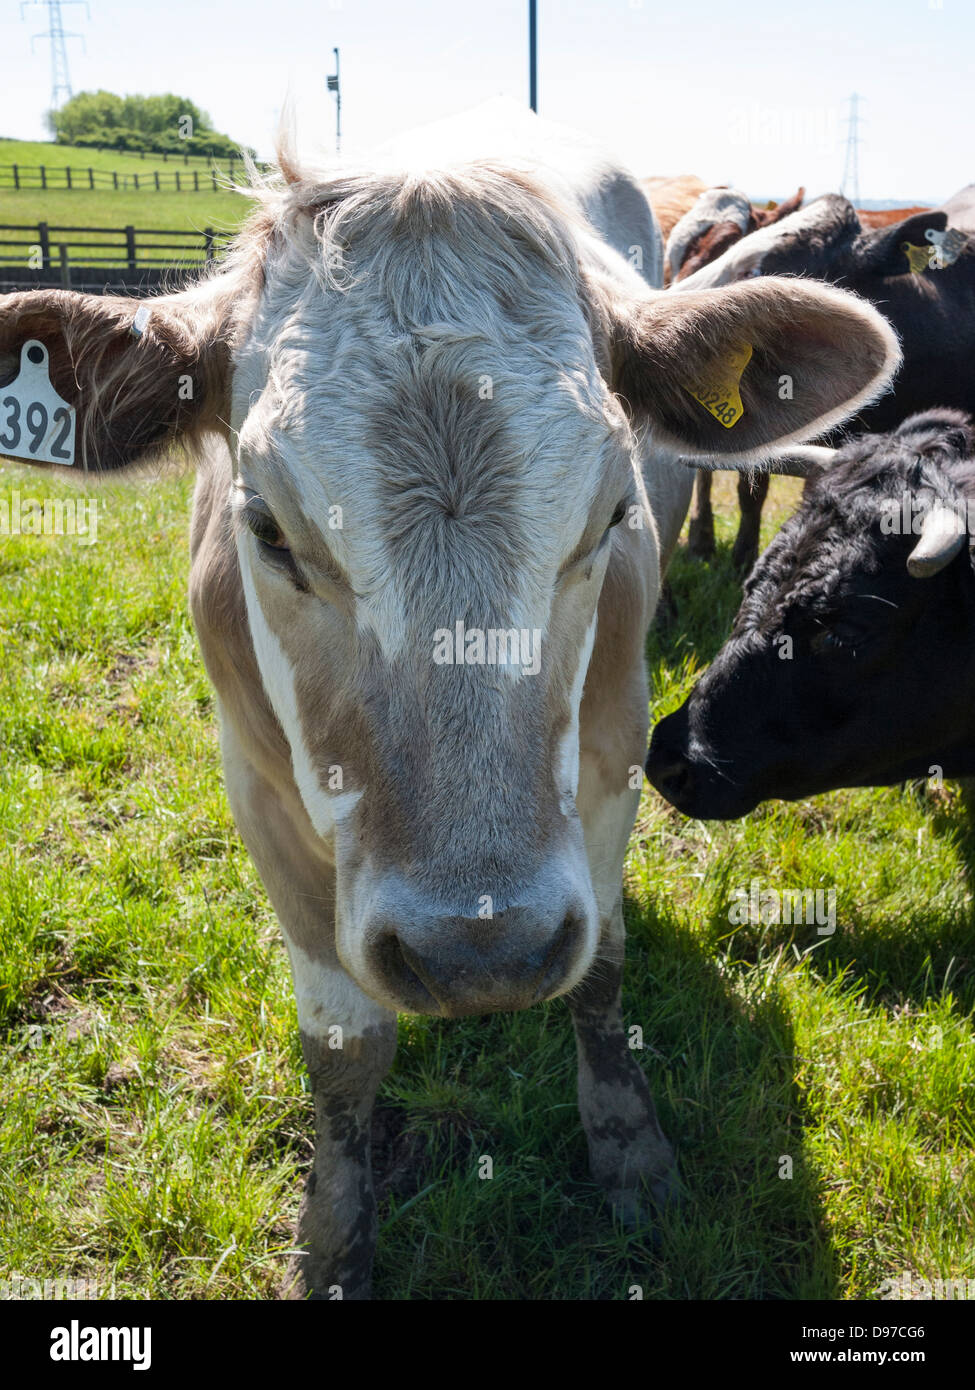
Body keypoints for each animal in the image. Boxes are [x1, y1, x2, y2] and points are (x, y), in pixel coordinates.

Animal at [0, 104, 901, 1299]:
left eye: (614, 510)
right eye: (267, 525)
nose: (484, 952)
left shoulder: (613, 754)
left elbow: (601, 973)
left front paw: (632, 1157)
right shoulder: (257, 789)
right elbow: (344, 1050)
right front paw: (335, 1238)